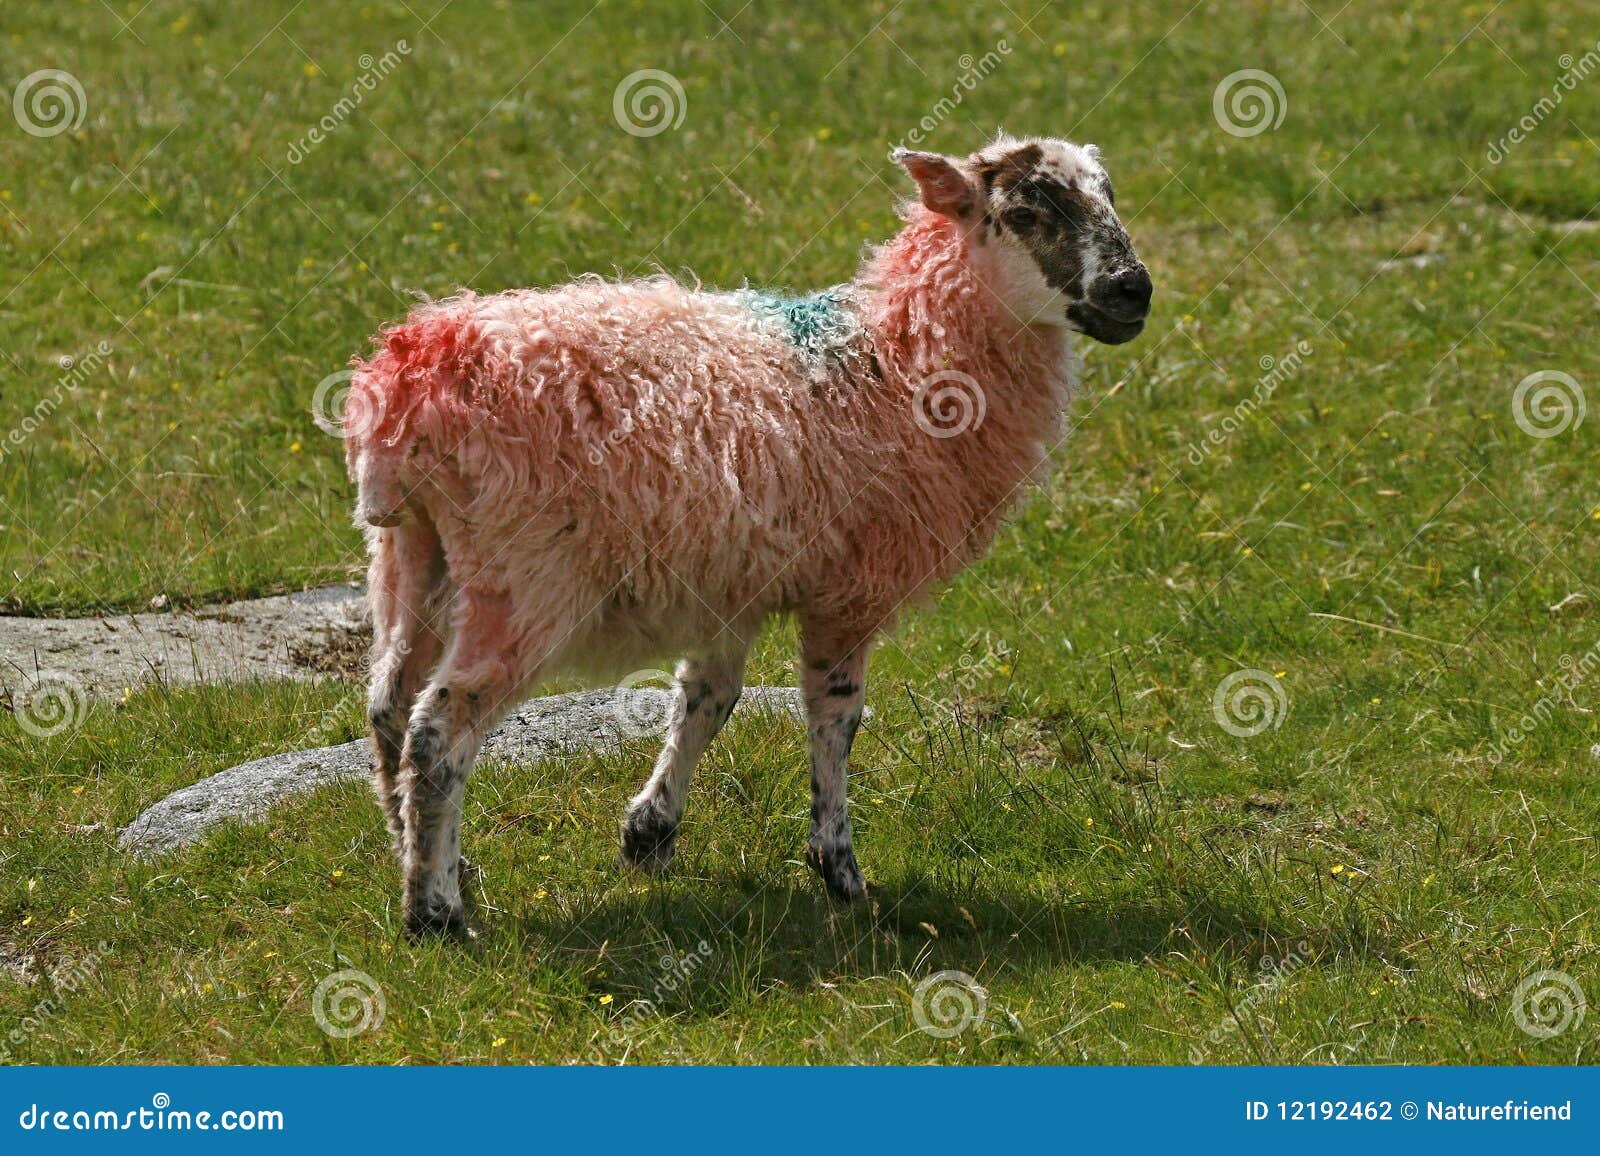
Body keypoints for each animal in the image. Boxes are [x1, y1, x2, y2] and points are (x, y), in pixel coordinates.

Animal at [344, 134, 1153, 939]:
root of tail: (411, 374)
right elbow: (836, 716)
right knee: (439, 730)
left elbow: (707, 701)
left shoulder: (727, 582)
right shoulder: (848, 588)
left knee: (388, 704)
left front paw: (649, 834)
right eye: (1026, 210)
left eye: (1110, 195)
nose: (1133, 291)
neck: (897, 356)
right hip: (523, 577)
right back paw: (436, 913)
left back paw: (424, 856)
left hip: (412, 554)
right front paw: (840, 871)